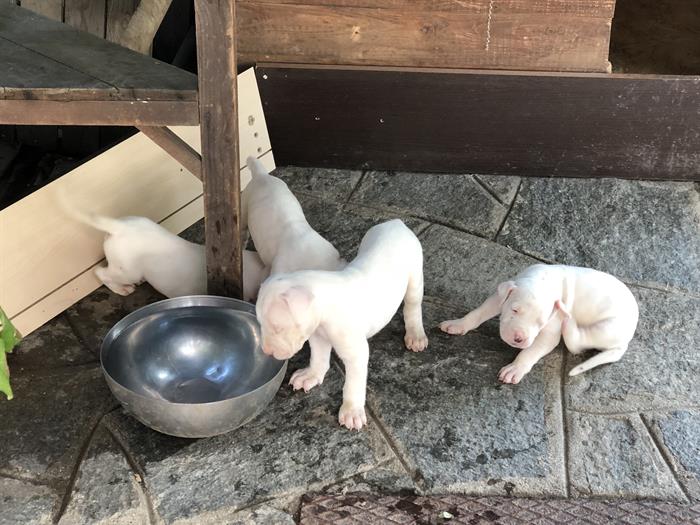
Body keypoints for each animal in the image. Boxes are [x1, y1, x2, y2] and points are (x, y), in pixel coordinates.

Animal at [253, 219, 426, 428]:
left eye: (278, 328)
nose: (267, 351)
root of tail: (396, 223)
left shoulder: (356, 352)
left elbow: (353, 383)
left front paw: (352, 411)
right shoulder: (318, 335)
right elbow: (318, 358)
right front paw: (310, 375)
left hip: (415, 275)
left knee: (413, 306)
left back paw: (416, 335)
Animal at [440, 264, 636, 382]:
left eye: (541, 322)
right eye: (514, 310)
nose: (519, 339)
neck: (543, 279)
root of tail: (626, 342)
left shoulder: (549, 333)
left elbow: (530, 352)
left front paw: (515, 368)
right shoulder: (499, 298)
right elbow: (479, 312)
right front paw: (458, 324)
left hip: (606, 328)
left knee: (578, 344)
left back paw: (570, 323)